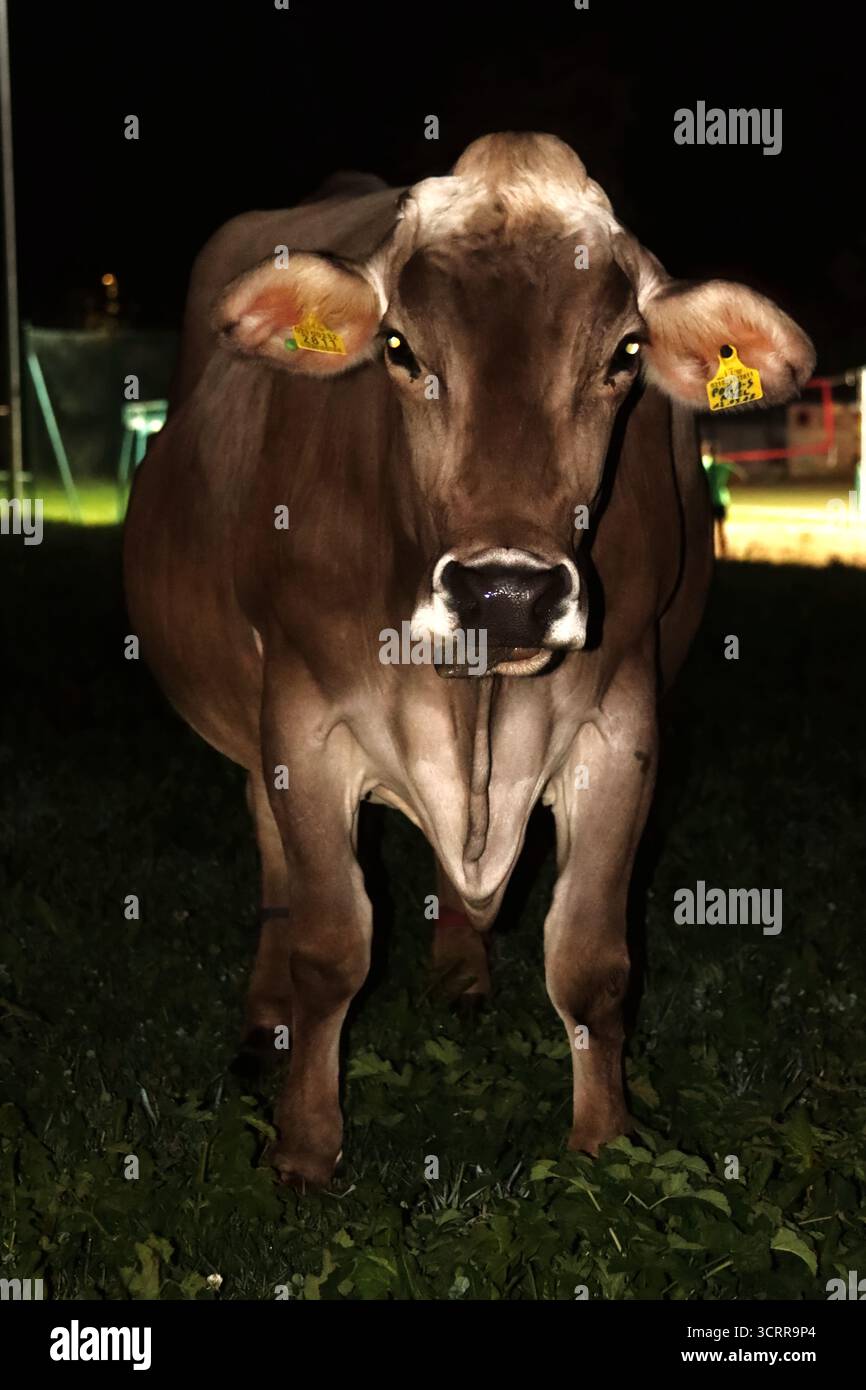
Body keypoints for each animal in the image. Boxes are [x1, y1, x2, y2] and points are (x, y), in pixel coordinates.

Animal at [124, 133, 814, 1189]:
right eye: (399, 349)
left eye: (625, 354)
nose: (505, 593)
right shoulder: (306, 726)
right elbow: (332, 947)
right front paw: (304, 1148)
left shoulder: (622, 727)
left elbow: (592, 962)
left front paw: (606, 1145)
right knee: (273, 860)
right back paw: (265, 1017)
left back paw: (459, 970)